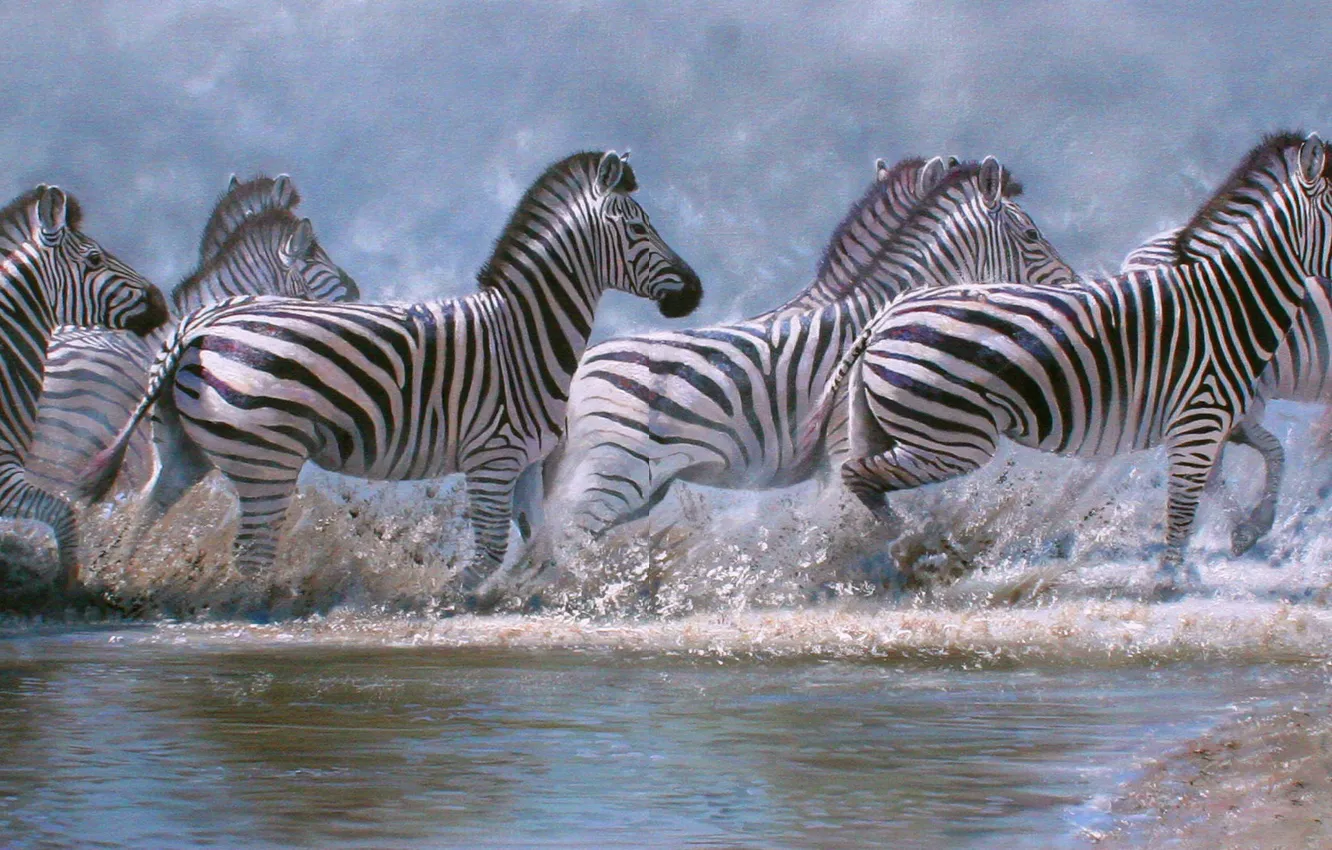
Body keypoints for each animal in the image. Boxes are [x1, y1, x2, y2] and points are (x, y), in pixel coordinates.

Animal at [81, 150, 703, 604]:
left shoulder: (526, 461)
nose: (694, 291)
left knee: (142, 517)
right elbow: (488, 551)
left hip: (184, 448)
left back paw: (120, 586)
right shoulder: (493, 456)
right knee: (249, 554)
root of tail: (201, 321)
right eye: (639, 229)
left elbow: (539, 544)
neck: (525, 334)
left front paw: (518, 596)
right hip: (266, 456)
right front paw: (440, 600)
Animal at [528, 156, 1075, 570]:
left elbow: (865, 524)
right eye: (1031, 236)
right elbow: (846, 526)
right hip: (612, 475)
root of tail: (577, 367)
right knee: (565, 548)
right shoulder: (842, 446)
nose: (1071, 286)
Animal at [804, 132, 1332, 591]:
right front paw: (1170, 579)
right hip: (954, 437)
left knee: (854, 479)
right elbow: (1185, 502)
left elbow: (1264, 458)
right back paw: (911, 546)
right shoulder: (1201, 415)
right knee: (860, 477)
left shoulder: (1222, 414)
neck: (1230, 299)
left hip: (886, 426)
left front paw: (1246, 533)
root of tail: (886, 315)